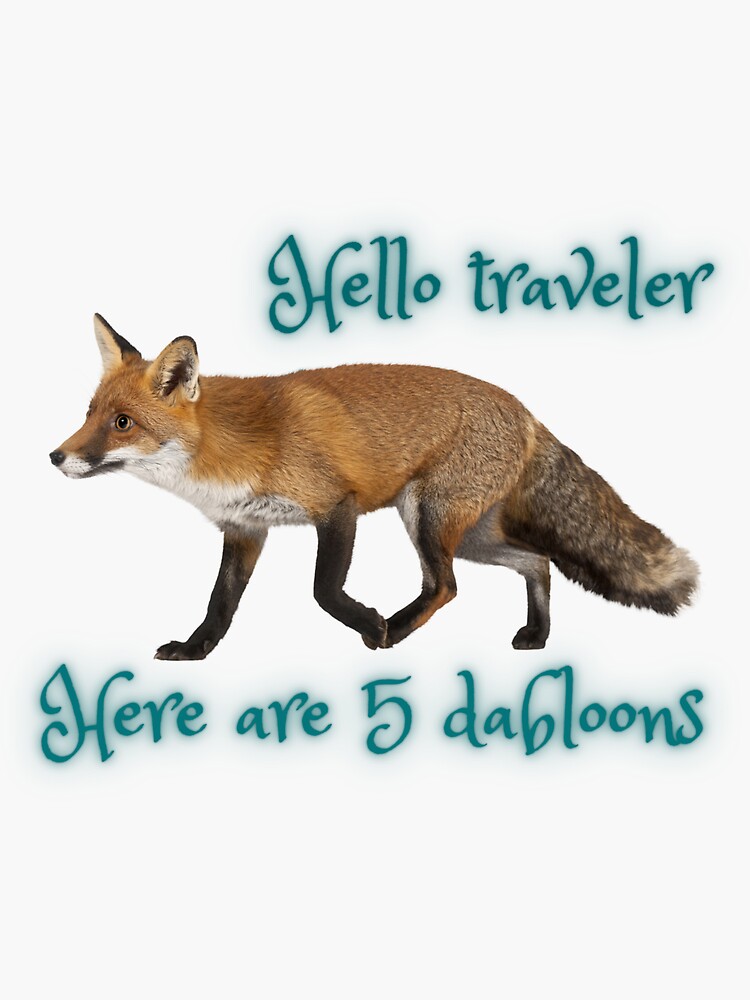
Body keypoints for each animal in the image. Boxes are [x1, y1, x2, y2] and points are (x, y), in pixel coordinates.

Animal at [51, 314, 698, 660]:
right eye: (89, 413)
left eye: (123, 423)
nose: (56, 456)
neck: (222, 450)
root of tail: (526, 411)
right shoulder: (246, 529)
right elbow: (219, 605)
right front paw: (195, 652)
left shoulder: (339, 506)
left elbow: (323, 590)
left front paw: (370, 623)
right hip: (471, 534)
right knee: (536, 562)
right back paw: (537, 635)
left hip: (426, 516)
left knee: (446, 586)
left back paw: (397, 630)